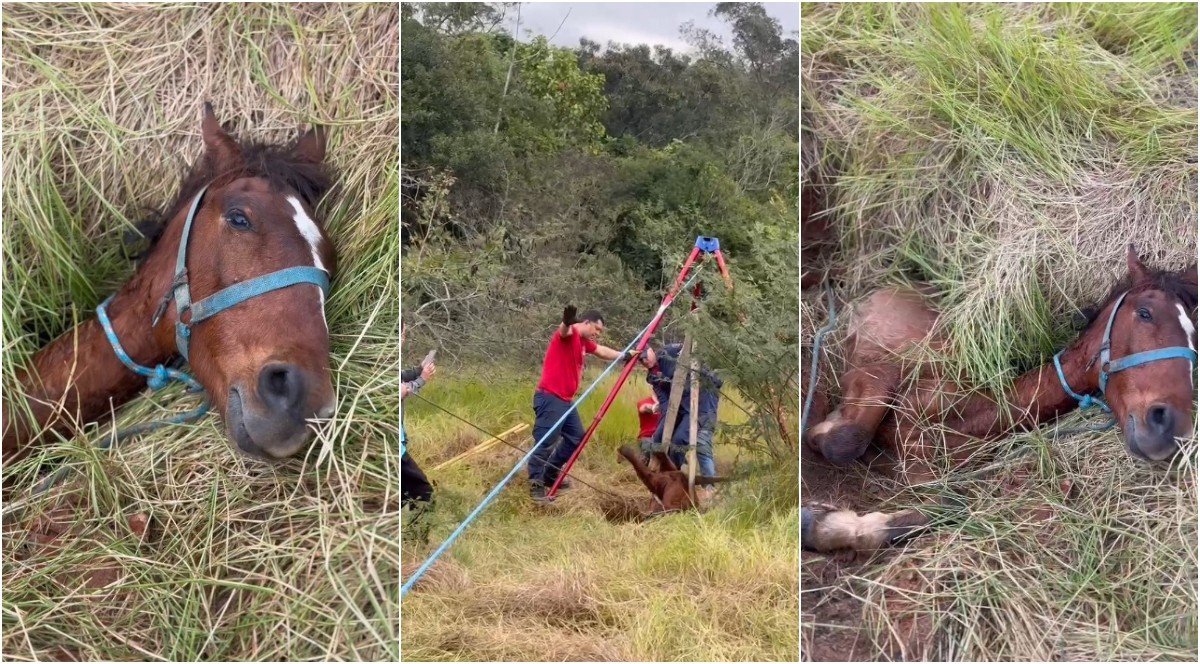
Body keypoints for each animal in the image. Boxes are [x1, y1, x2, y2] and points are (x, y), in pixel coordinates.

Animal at [803, 246, 1197, 553]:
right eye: (1145, 313)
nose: (1171, 425)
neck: (972, 408)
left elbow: (947, 504)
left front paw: (825, 523)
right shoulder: (878, 367)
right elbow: (845, 439)